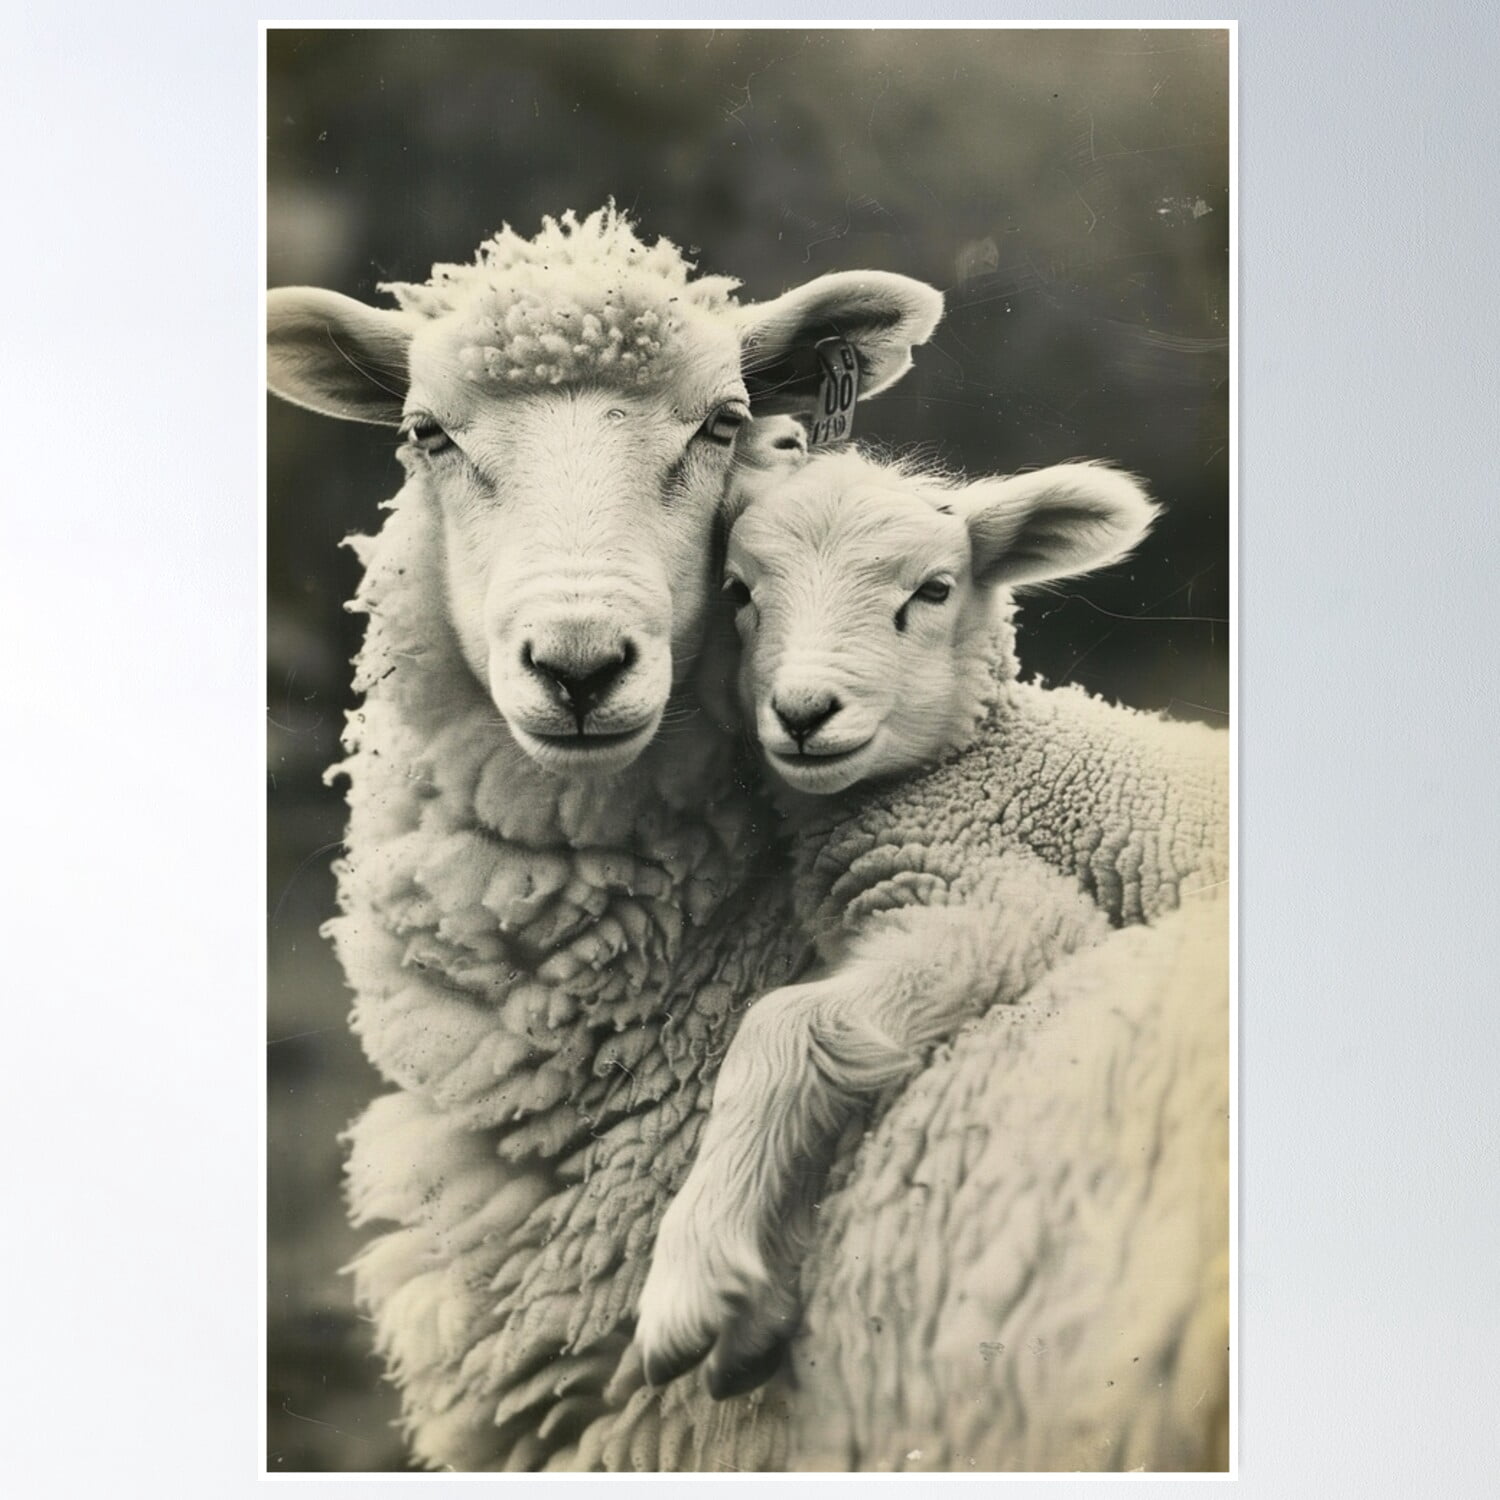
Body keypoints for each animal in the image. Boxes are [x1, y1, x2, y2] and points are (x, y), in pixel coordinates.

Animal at [634, 444, 1229, 1415]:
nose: (804, 712)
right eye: (738, 590)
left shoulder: (1007, 908)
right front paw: (759, 1305)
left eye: (935, 589)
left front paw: (690, 1281)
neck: (972, 764)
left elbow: (783, 1024)